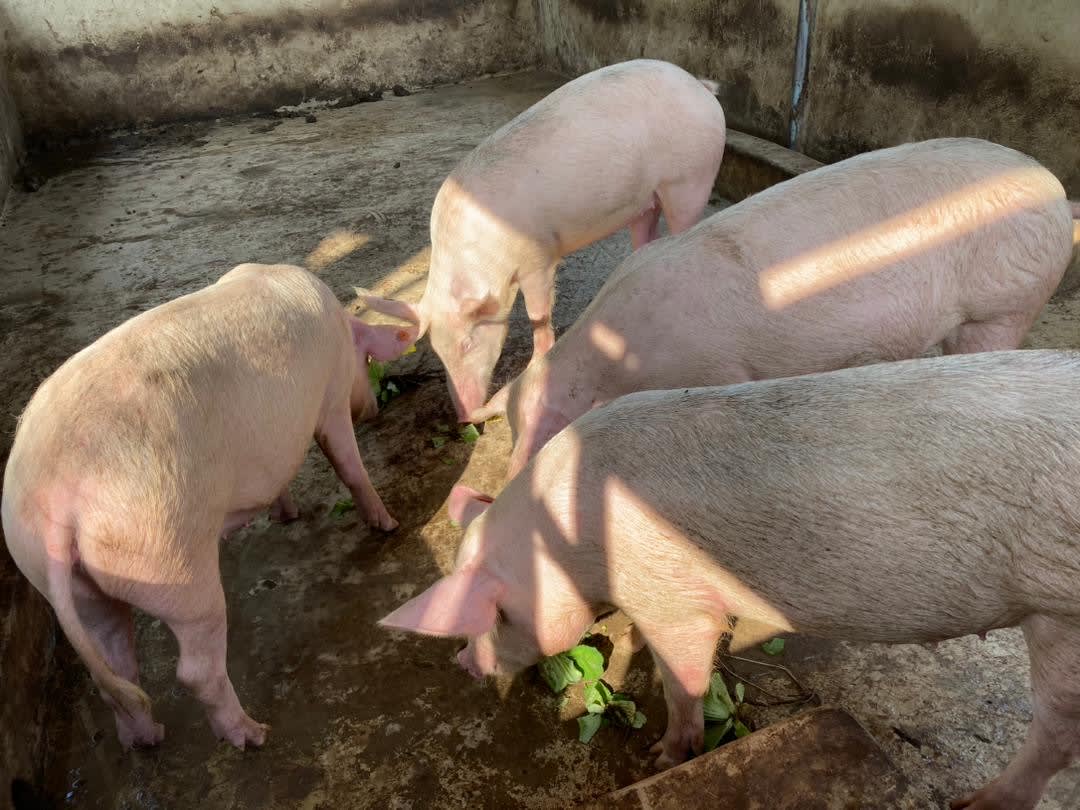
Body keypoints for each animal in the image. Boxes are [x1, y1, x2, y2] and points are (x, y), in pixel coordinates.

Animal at [1, 263, 416, 750]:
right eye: (366, 360)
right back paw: (253, 735)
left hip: (72, 583)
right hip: (171, 561)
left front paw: (287, 515)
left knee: (116, 667)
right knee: (196, 670)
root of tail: (58, 494)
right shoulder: (330, 399)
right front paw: (389, 524)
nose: (371, 409)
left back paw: (148, 738)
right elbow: (348, 463)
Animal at [358, 59, 726, 421]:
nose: (464, 416)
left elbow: (538, 314)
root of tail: (699, 86)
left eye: (467, 343)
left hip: (691, 179)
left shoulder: (537, 256)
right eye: (436, 349)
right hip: (643, 201)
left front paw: (535, 361)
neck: (482, 258)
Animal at [381, 348, 1080, 810]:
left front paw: (659, 757)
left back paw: (975, 805)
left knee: (1056, 737)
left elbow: (685, 675)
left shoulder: (674, 601)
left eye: (491, 620)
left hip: (1061, 614)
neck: (566, 540)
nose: (465, 665)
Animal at [472, 137, 1080, 481]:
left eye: (546, 431)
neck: (616, 355)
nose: (504, 482)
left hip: (1006, 303)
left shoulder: (712, 368)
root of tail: (1052, 186)